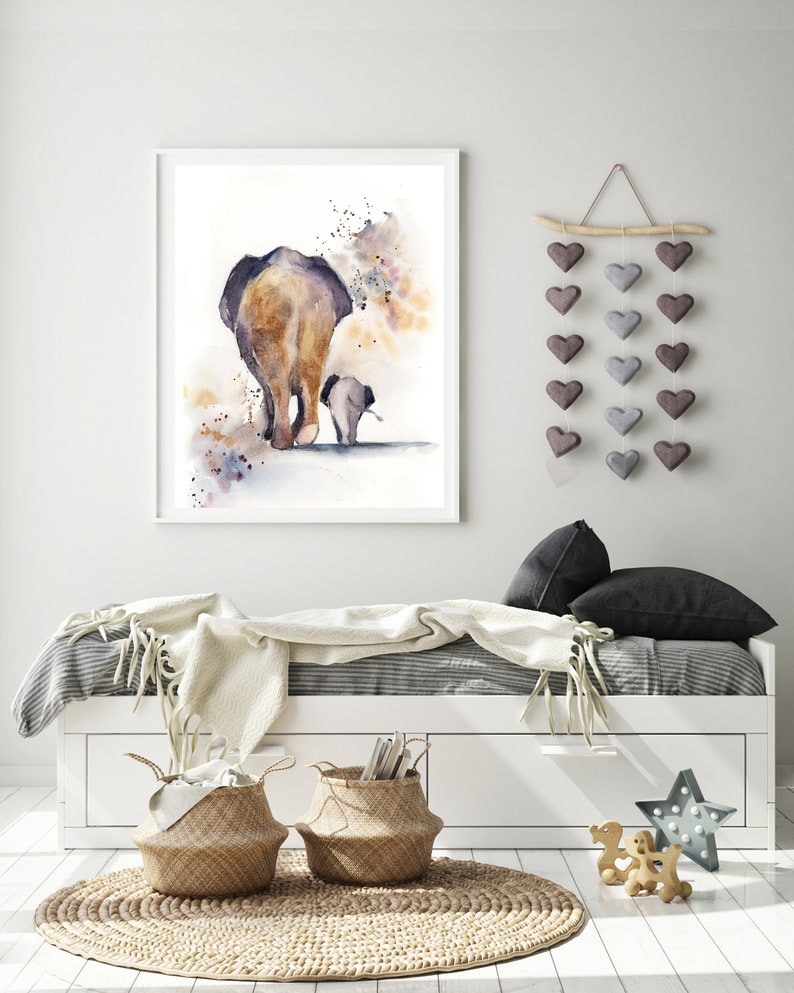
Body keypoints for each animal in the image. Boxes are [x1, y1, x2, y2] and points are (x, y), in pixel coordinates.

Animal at [219, 246, 353, 450]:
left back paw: (280, 443)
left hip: (267, 325)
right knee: (308, 371)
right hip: (314, 322)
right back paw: (305, 436)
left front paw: (266, 435)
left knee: (277, 379)